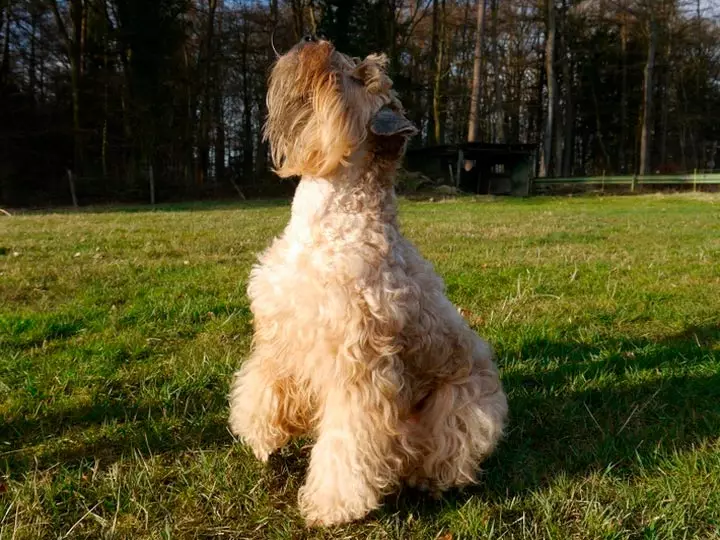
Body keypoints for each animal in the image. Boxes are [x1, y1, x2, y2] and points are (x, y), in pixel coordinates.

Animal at [229, 34, 506, 528]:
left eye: (358, 78)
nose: (312, 39)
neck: (327, 223)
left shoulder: (359, 368)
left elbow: (347, 444)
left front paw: (331, 505)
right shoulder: (279, 334)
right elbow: (261, 387)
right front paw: (261, 434)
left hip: (468, 403)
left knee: (450, 451)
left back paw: (428, 480)